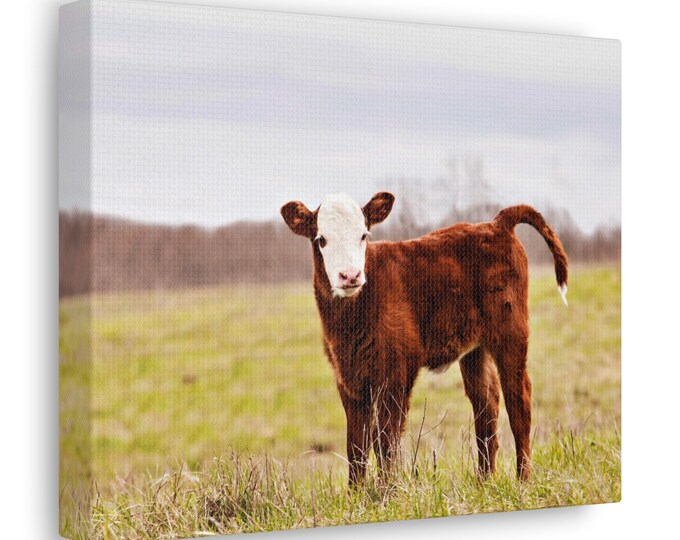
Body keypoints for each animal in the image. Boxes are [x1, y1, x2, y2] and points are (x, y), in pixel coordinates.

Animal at [281, 192, 568, 485]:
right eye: (321, 239)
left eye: (363, 235)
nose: (350, 275)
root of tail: (497, 223)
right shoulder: (347, 377)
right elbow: (356, 445)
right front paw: (357, 493)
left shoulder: (395, 371)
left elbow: (385, 440)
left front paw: (388, 491)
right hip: (476, 349)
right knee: (487, 405)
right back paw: (483, 481)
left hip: (511, 333)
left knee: (519, 400)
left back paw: (523, 480)